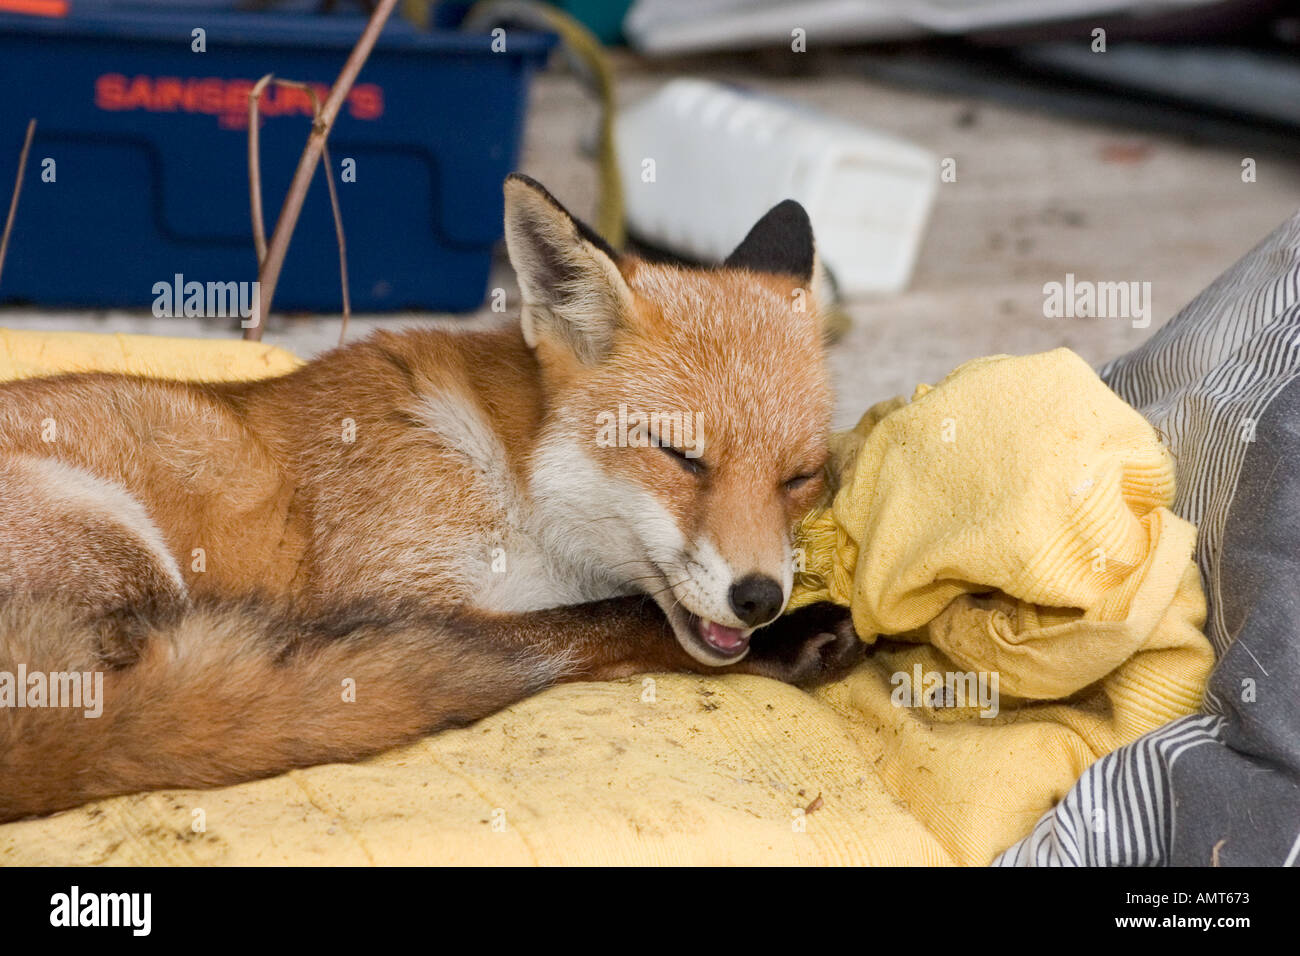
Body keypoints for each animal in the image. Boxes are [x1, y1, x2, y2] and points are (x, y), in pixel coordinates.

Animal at [0, 174, 862, 823]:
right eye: (682, 456)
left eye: (800, 476)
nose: (759, 597)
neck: (512, 475)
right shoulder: (398, 589)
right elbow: (612, 618)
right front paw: (792, 641)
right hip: (126, 560)